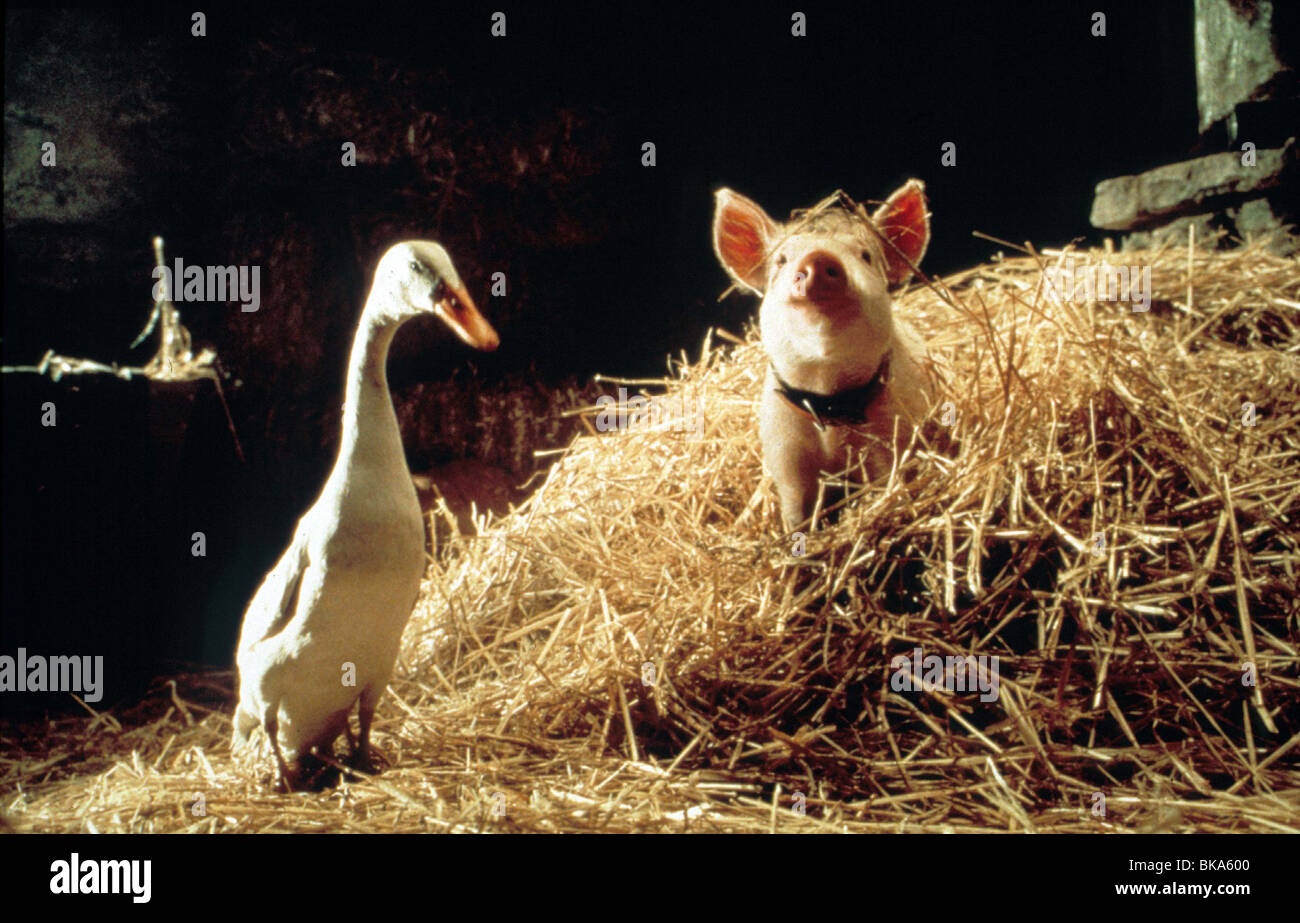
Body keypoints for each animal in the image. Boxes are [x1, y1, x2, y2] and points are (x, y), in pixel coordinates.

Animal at [712, 181, 935, 532]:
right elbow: (795, 514)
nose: (818, 257)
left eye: (865, 255)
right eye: (782, 260)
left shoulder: (893, 438)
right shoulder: (786, 457)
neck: (828, 398)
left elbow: (888, 484)